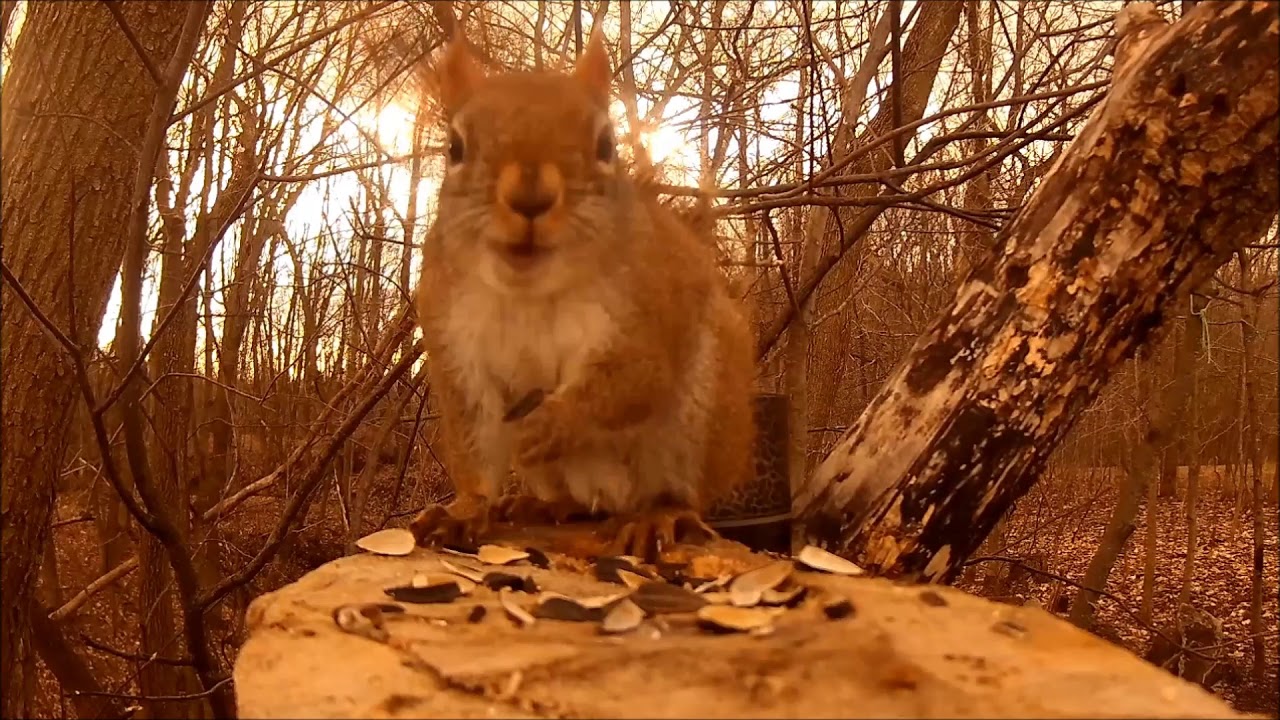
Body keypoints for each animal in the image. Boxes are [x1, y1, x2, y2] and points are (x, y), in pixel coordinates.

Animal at [408, 30, 756, 561]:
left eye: (607, 144)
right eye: (455, 146)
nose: (530, 198)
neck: (531, 290)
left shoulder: (648, 311)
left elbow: (630, 381)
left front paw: (552, 423)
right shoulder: (452, 336)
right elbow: (474, 440)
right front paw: (465, 510)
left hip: (699, 418)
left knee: (676, 489)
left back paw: (660, 514)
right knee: (571, 500)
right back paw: (540, 505)